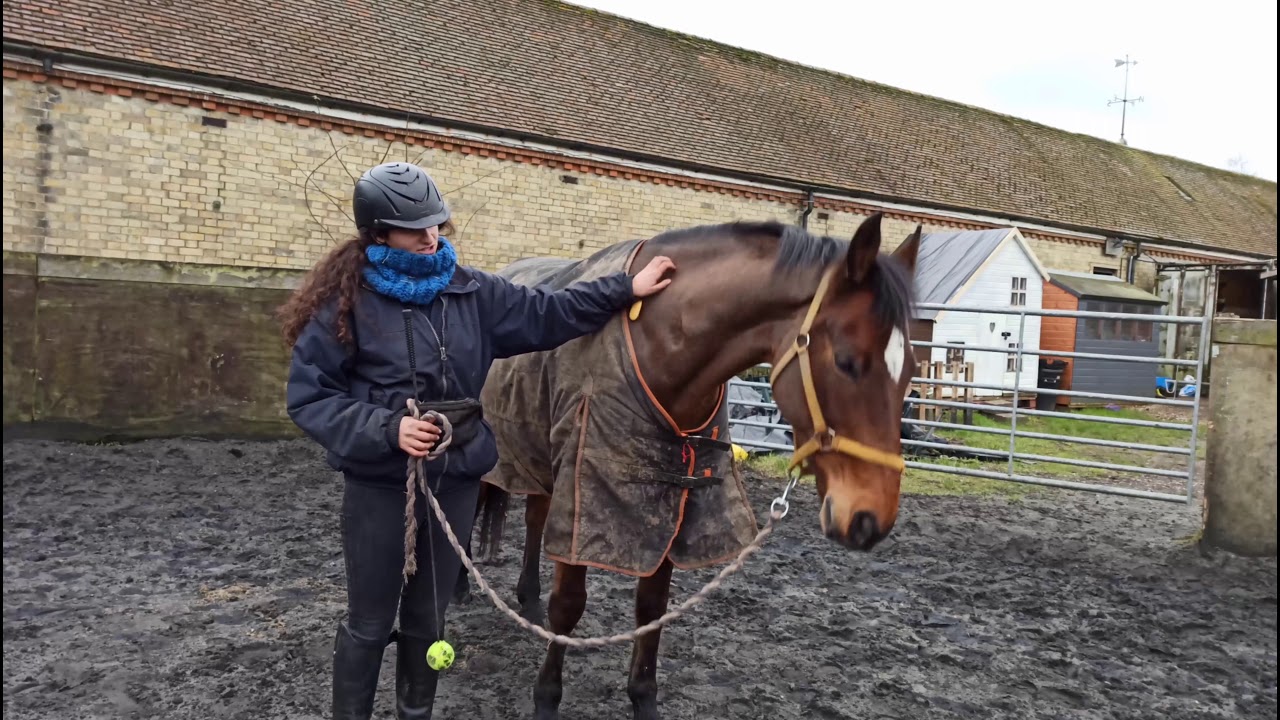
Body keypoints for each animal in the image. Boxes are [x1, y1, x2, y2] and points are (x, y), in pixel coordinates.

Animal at [457, 212, 922, 720]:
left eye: (912, 370)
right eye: (846, 361)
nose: (870, 520)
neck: (660, 346)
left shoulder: (676, 499)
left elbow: (652, 607)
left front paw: (643, 699)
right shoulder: (585, 485)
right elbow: (570, 604)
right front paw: (546, 698)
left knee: (535, 517)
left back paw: (527, 601)